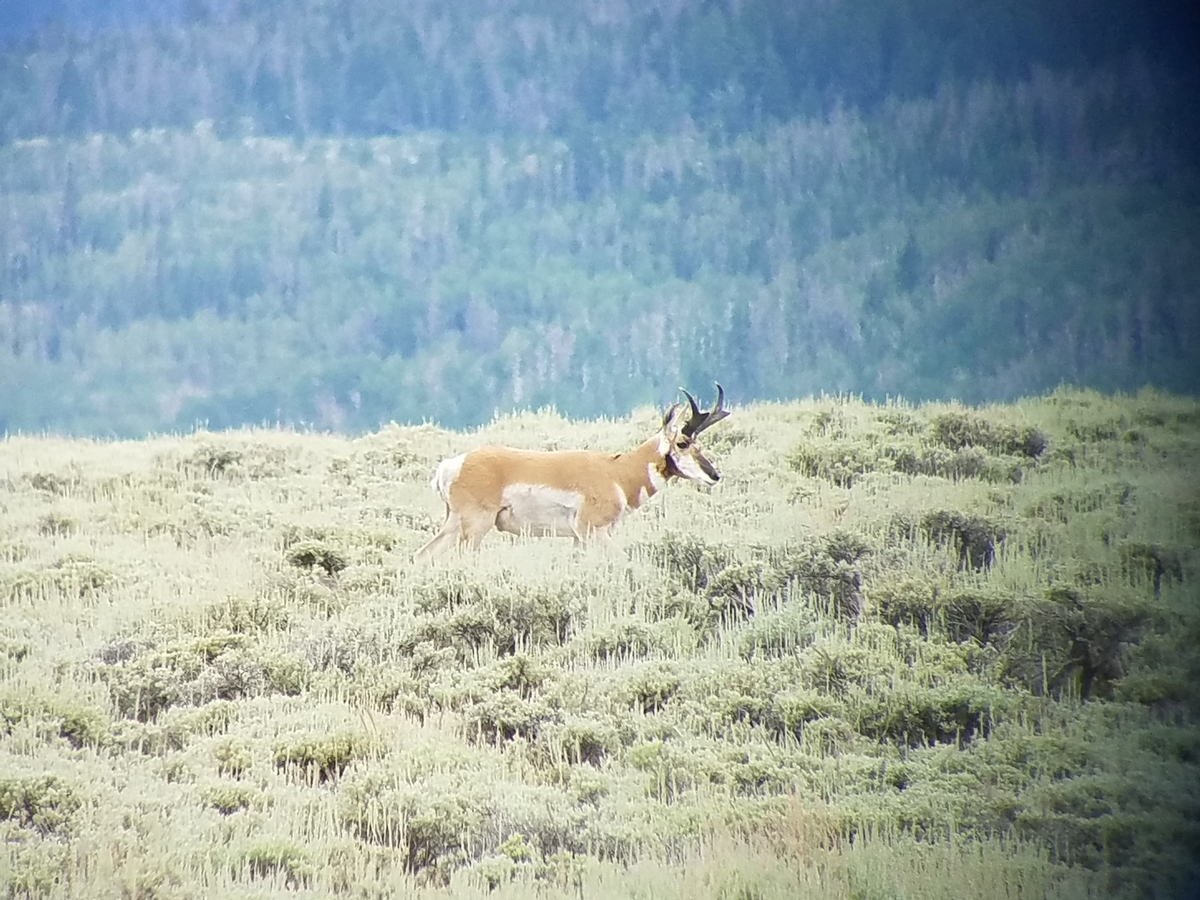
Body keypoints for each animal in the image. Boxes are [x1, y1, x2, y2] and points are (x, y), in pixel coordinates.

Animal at [414, 385, 730, 558]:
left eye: (699, 443)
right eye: (683, 443)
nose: (714, 476)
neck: (617, 472)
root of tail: (453, 464)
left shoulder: (579, 539)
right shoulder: (593, 532)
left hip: (454, 525)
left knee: (422, 555)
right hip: (475, 527)